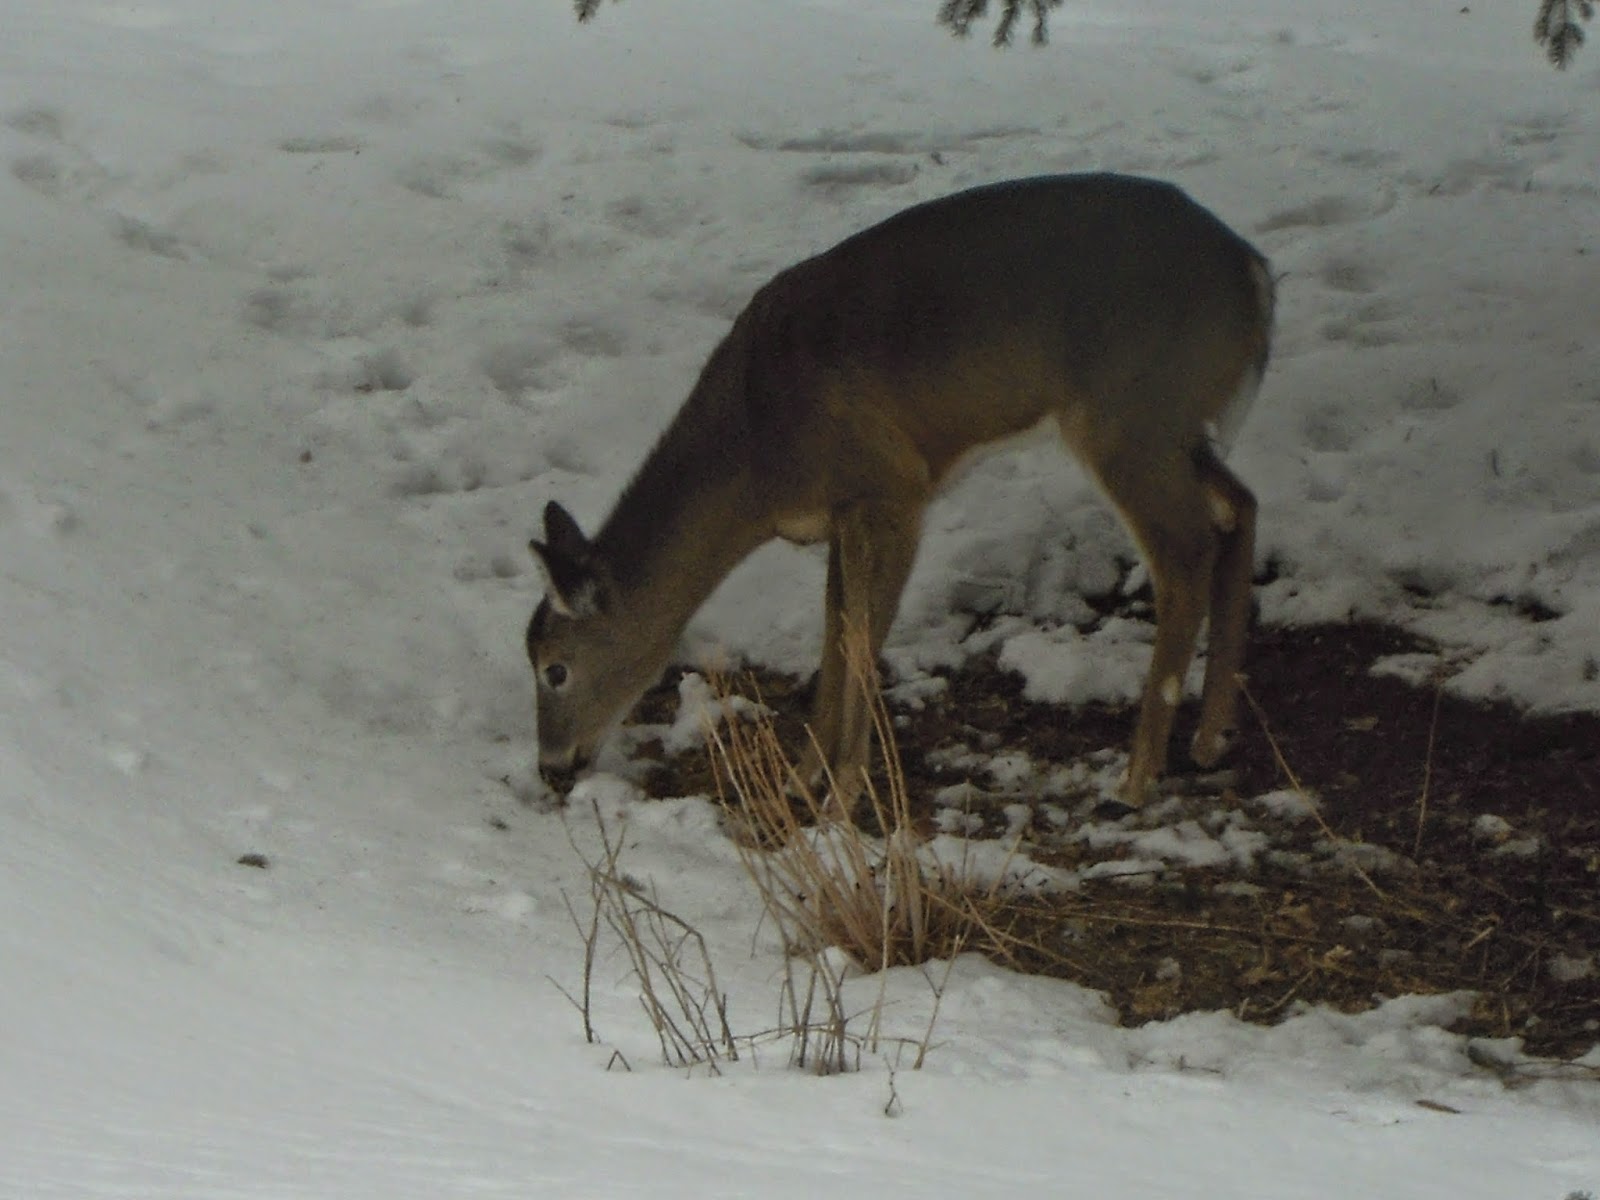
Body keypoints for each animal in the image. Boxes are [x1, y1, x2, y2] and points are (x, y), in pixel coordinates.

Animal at [526, 173, 1273, 814]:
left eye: (554, 669)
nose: (550, 765)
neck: (757, 452)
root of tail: (1254, 271)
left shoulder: (892, 485)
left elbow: (860, 639)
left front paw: (842, 795)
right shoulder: (838, 511)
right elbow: (834, 636)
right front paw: (802, 780)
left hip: (1130, 415)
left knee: (1184, 554)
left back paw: (1137, 777)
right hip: (1177, 427)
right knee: (1240, 505)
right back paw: (1211, 738)